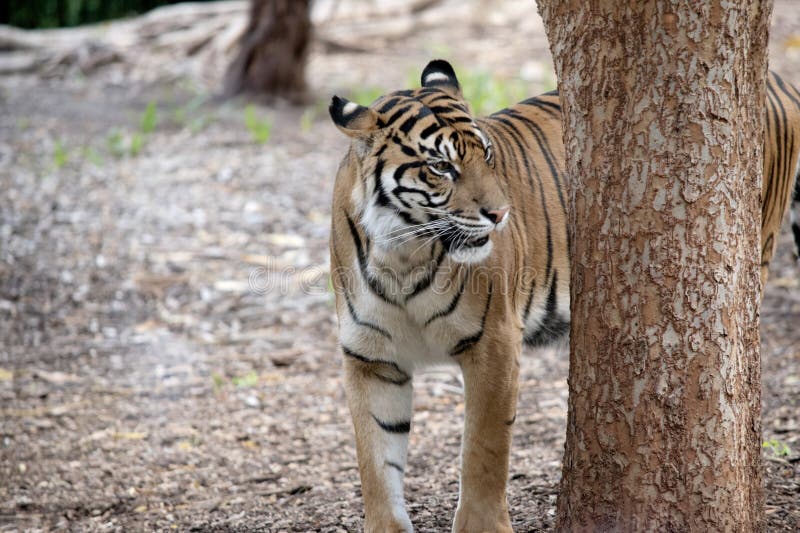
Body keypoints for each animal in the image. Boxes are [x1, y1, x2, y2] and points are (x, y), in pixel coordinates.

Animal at [328, 60, 800, 533]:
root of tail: (777, 78)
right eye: (441, 166)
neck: (401, 253)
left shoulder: (494, 342)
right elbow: (376, 462)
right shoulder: (371, 358)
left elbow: (483, 451)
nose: (500, 214)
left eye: (487, 155)